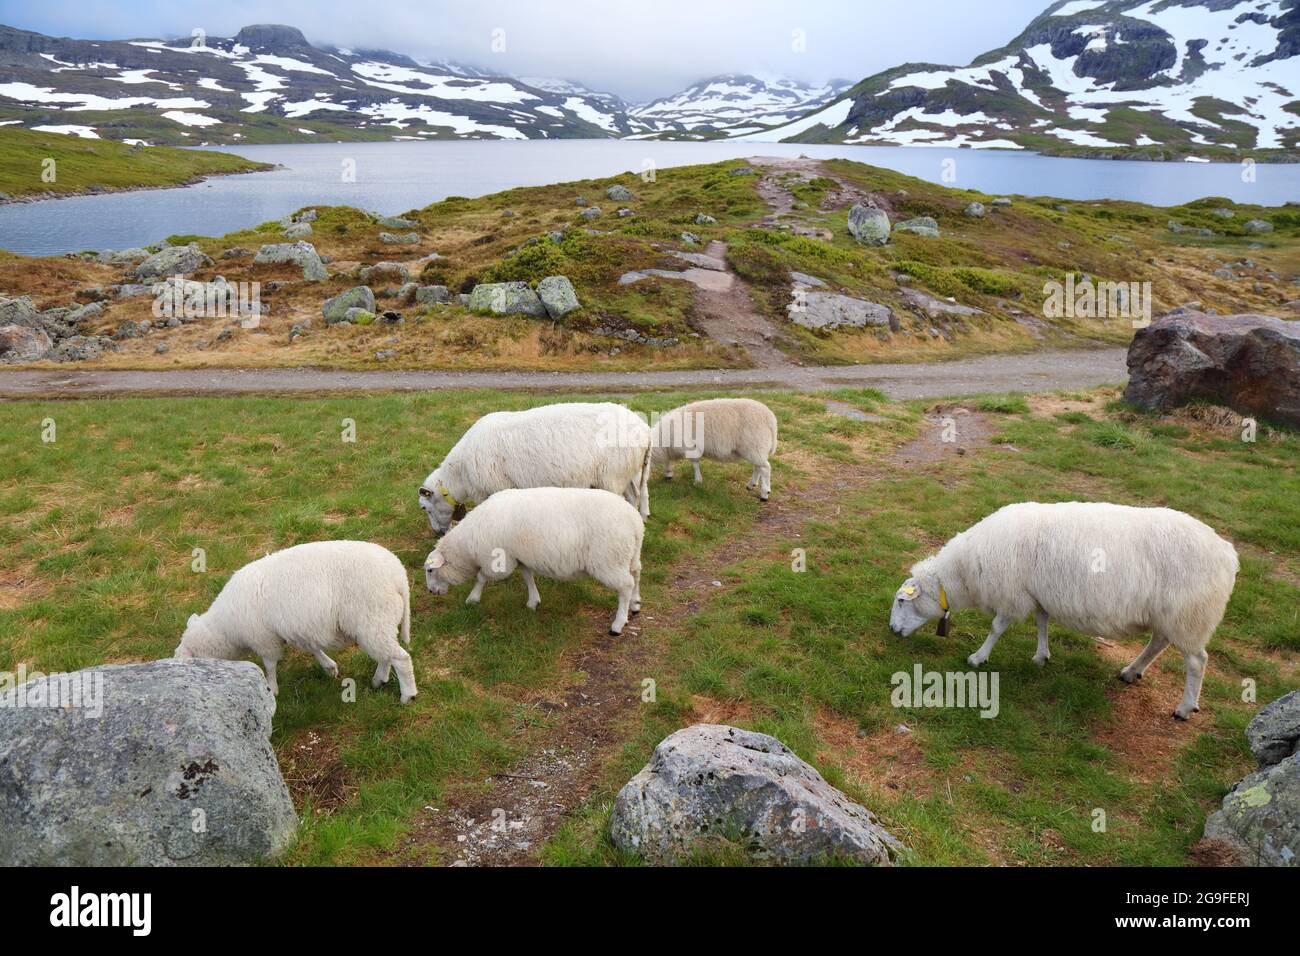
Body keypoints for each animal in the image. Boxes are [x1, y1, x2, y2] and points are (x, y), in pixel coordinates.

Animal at [174, 540, 417, 703]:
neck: (225, 629)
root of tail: (398, 575)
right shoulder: (299, 628)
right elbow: (312, 648)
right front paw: (329, 667)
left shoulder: (264, 639)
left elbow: (270, 665)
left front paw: (271, 689)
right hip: (377, 624)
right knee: (386, 655)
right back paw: (379, 680)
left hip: (373, 619)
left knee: (401, 659)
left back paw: (408, 695)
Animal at [419, 402, 652, 534]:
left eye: (426, 508)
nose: (438, 533)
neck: (460, 475)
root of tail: (644, 429)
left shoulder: (493, 489)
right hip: (628, 472)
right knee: (634, 497)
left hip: (612, 475)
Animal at [423, 487, 644, 636]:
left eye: (430, 571)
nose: (430, 592)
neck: (467, 545)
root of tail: (635, 522)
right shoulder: (520, 556)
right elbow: (527, 576)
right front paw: (533, 602)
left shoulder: (499, 560)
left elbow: (481, 577)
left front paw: (473, 598)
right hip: (629, 555)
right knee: (636, 574)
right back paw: (635, 604)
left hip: (609, 560)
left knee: (626, 585)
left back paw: (618, 623)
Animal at [650, 398, 778, 500]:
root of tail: (771, 419)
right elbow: (668, 460)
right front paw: (668, 474)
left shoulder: (690, 448)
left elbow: (695, 464)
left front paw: (697, 481)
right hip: (756, 448)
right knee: (758, 466)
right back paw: (751, 485)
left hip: (754, 445)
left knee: (765, 468)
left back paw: (764, 494)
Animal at [888, 502, 1238, 720]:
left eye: (901, 601)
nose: (892, 630)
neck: (964, 573)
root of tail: (1227, 553)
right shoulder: (1036, 593)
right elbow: (1042, 622)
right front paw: (1041, 655)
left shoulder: (1012, 593)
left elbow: (997, 627)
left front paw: (978, 657)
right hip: (1169, 614)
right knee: (1158, 643)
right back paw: (1131, 671)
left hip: (1189, 614)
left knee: (1196, 661)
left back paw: (1185, 707)